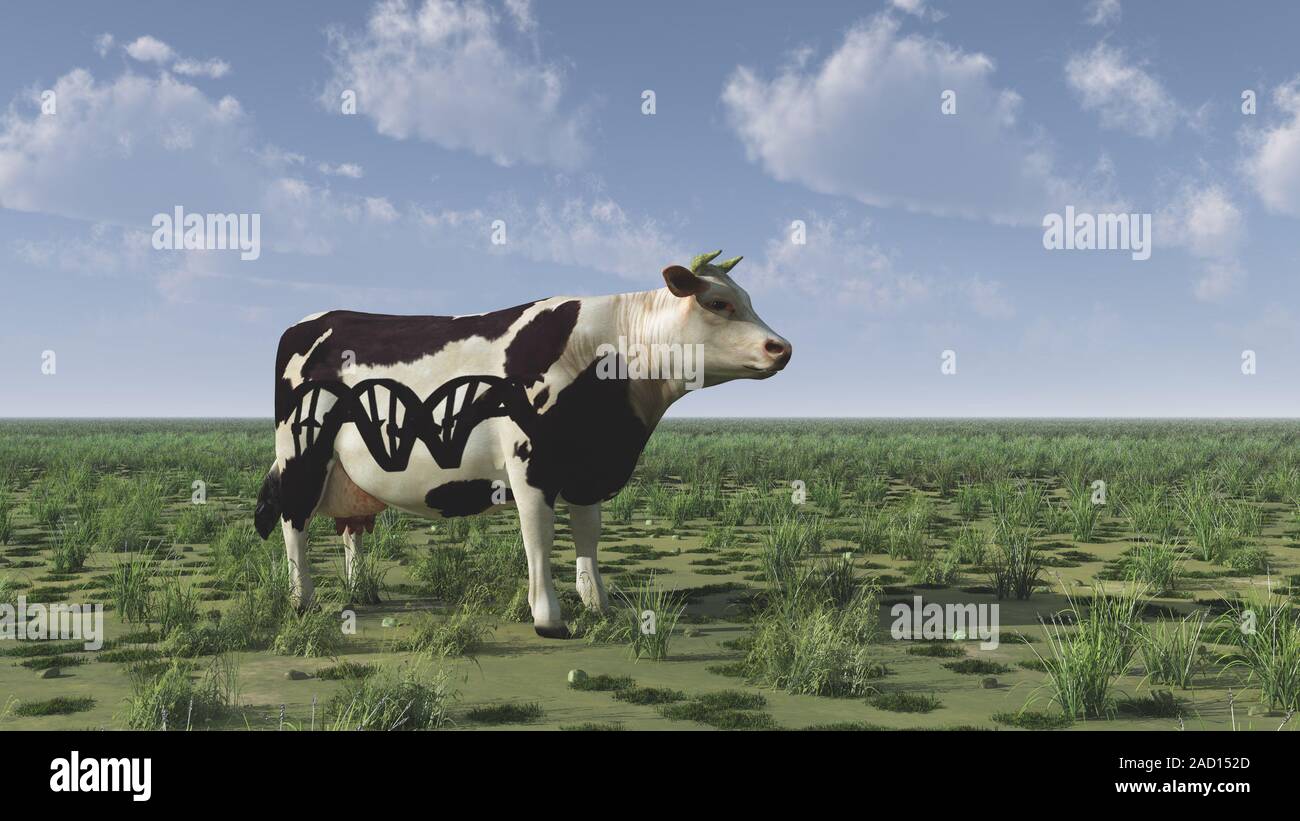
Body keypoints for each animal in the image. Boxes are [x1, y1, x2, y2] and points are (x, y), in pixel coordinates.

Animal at [253, 251, 792, 637]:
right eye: (718, 303)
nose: (782, 347)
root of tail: (312, 320)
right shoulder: (531, 464)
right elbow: (539, 537)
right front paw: (549, 618)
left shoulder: (588, 470)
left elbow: (588, 536)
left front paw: (598, 605)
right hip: (301, 453)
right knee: (294, 521)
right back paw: (303, 600)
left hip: (348, 476)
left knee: (351, 528)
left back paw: (363, 593)